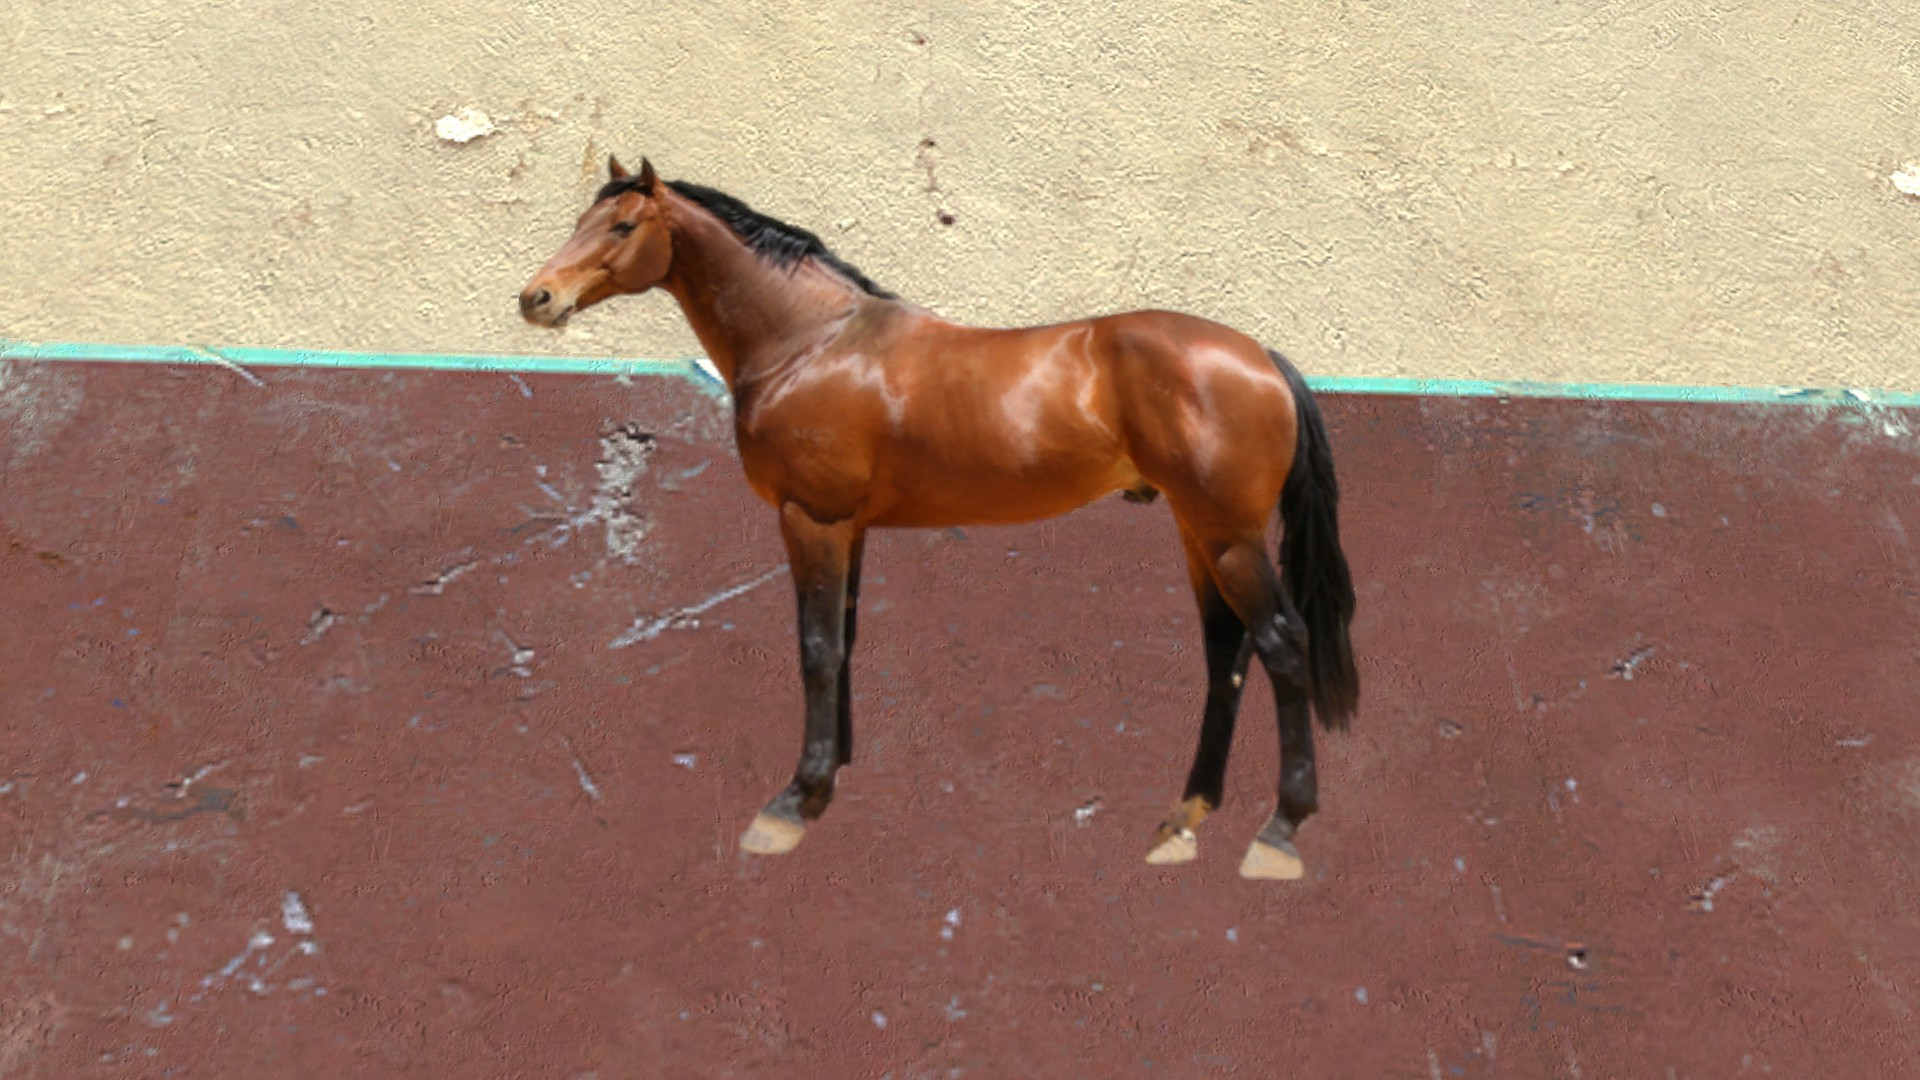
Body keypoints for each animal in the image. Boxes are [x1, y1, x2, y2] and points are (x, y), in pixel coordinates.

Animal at [519, 156, 1359, 880]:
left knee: (1282, 646)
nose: (537, 299)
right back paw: (1182, 820)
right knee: (1226, 654)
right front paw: (834, 776)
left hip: (1230, 539)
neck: (810, 341)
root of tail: (1261, 356)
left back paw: (1279, 832)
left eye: (623, 226)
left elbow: (815, 648)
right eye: (580, 220)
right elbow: (845, 641)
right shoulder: (848, 529)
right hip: (1198, 533)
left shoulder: (813, 520)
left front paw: (794, 802)